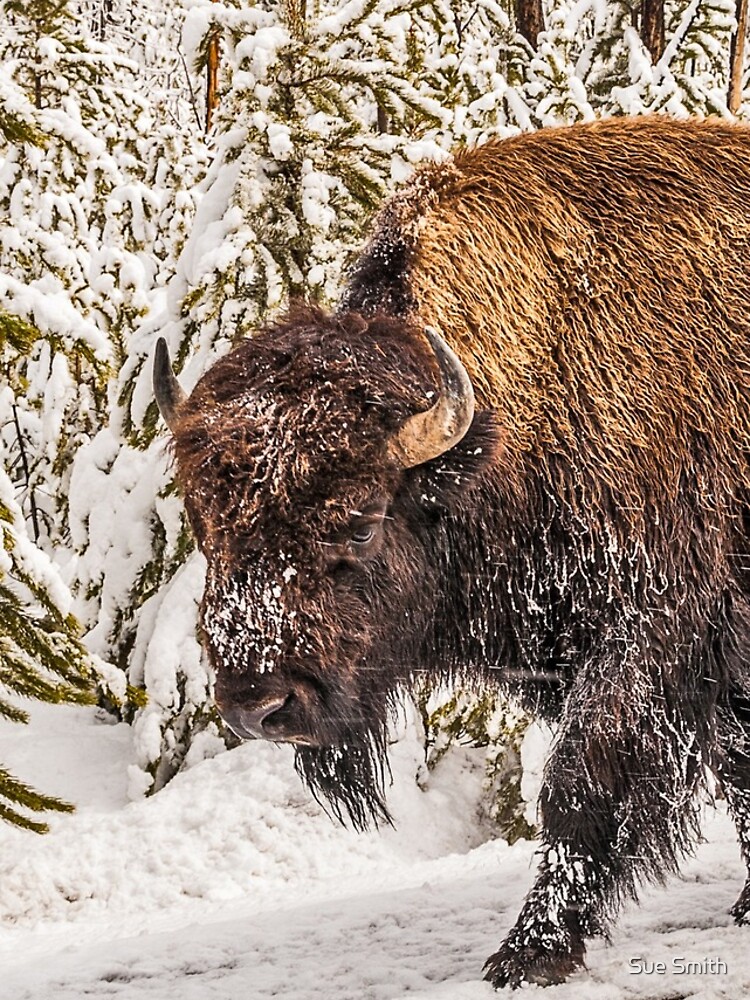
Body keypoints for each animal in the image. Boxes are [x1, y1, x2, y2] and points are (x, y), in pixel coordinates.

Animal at [153, 115, 750, 988]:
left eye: (362, 520)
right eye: (205, 524)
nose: (257, 706)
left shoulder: (651, 633)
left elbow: (580, 785)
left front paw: (528, 954)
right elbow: (736, 770)